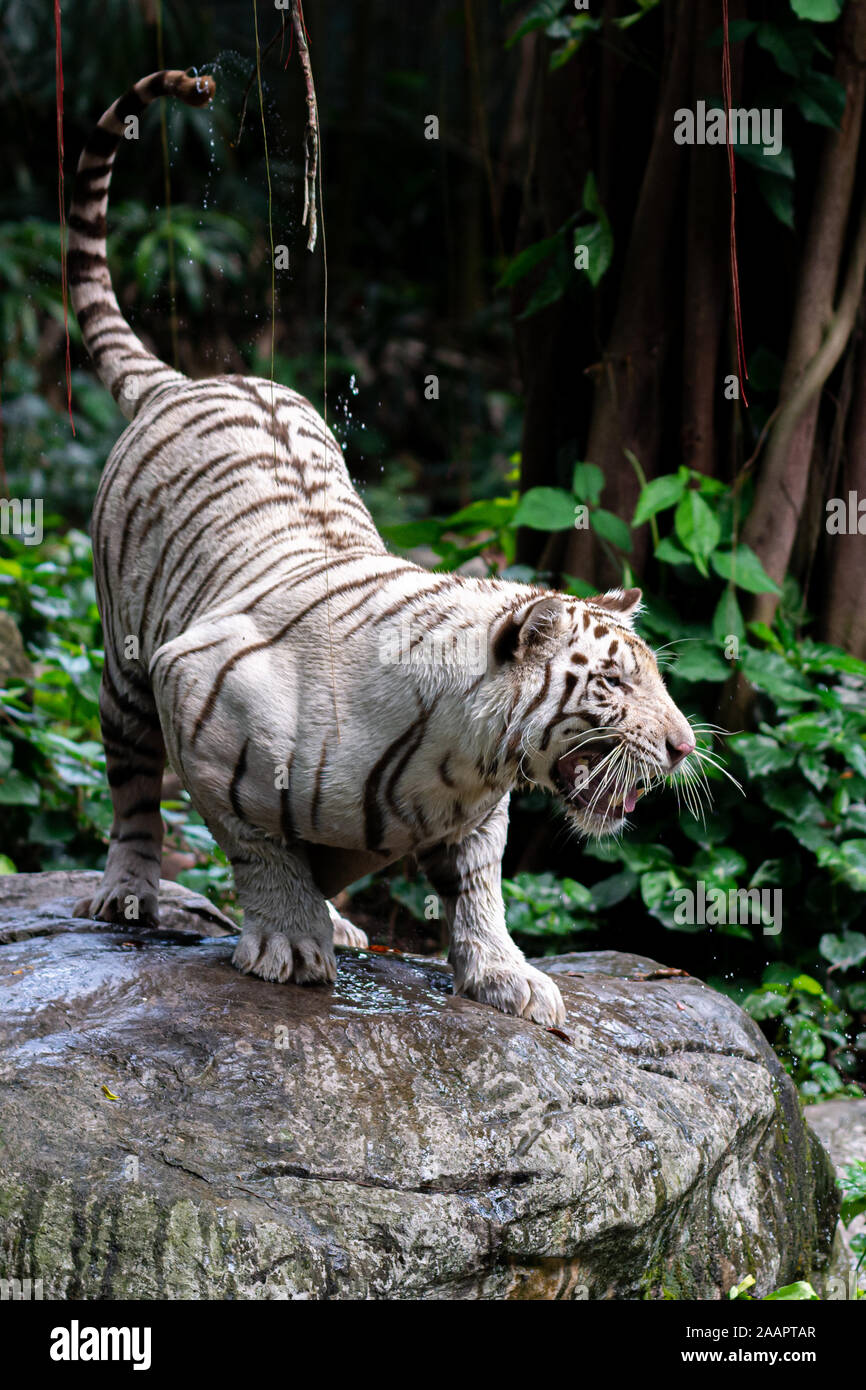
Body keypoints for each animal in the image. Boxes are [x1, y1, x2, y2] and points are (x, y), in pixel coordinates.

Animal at [67, 69, 697, 1028]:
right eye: (617, 685)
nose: (685, 750)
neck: (463, 756)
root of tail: (189, 379)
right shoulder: (196, 684)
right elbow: (260, 848)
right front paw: (292, 942)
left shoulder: (474, 810)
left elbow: (478, 888)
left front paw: (507, 974)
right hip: (129, 663)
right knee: (135, 786)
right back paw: (131, 891)